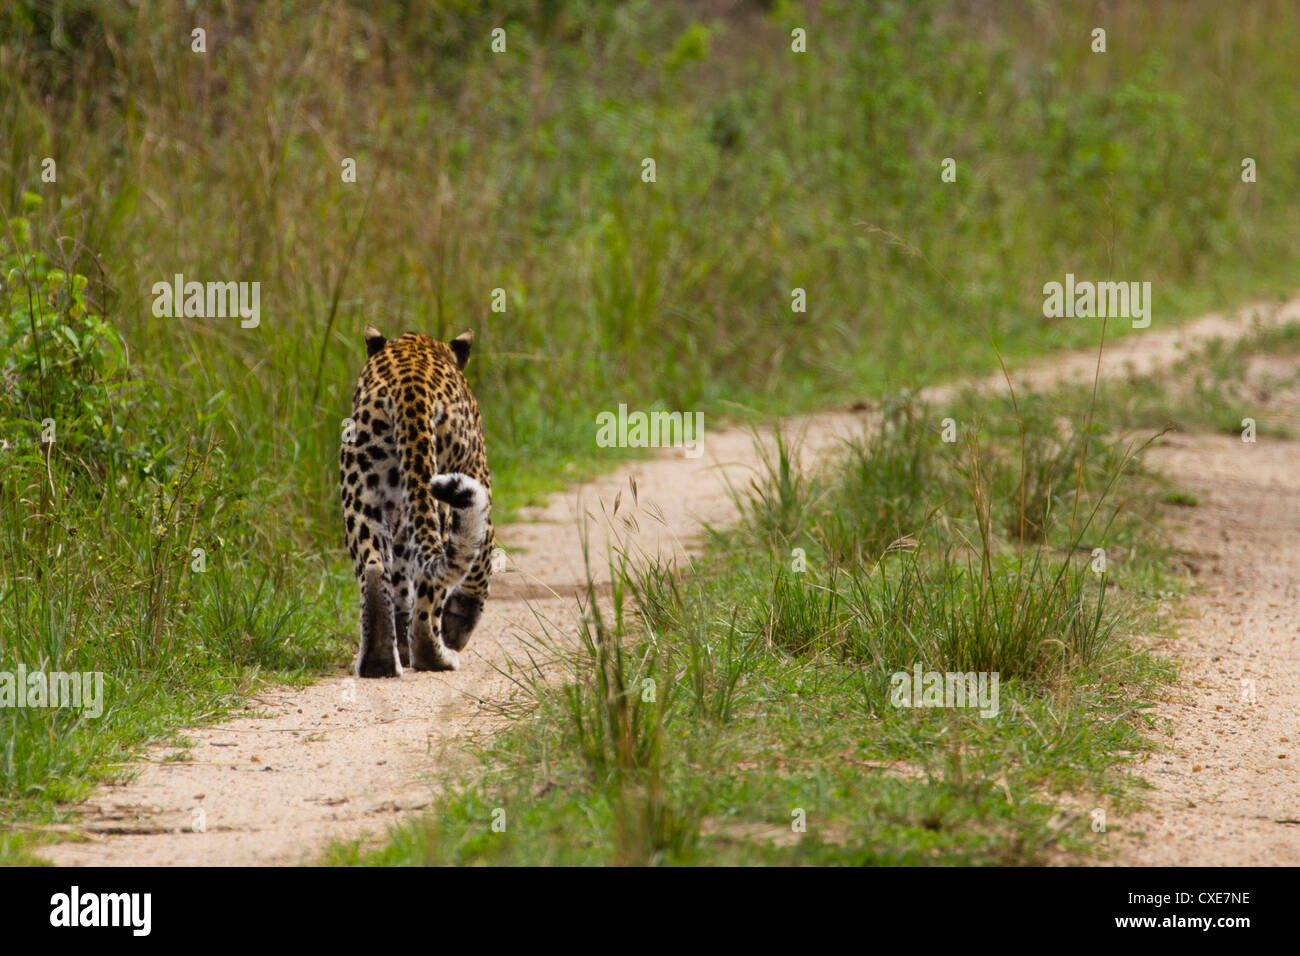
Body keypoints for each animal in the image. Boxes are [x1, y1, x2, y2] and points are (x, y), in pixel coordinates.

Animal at [339, 325, 494, 678]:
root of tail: (411, 391)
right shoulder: (479, 475)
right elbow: (482, 558)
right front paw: (458, 625)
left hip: (362, 490)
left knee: (375, 569)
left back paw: (380, 660)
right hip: (443, 497)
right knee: (431, 582)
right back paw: (434, 654)